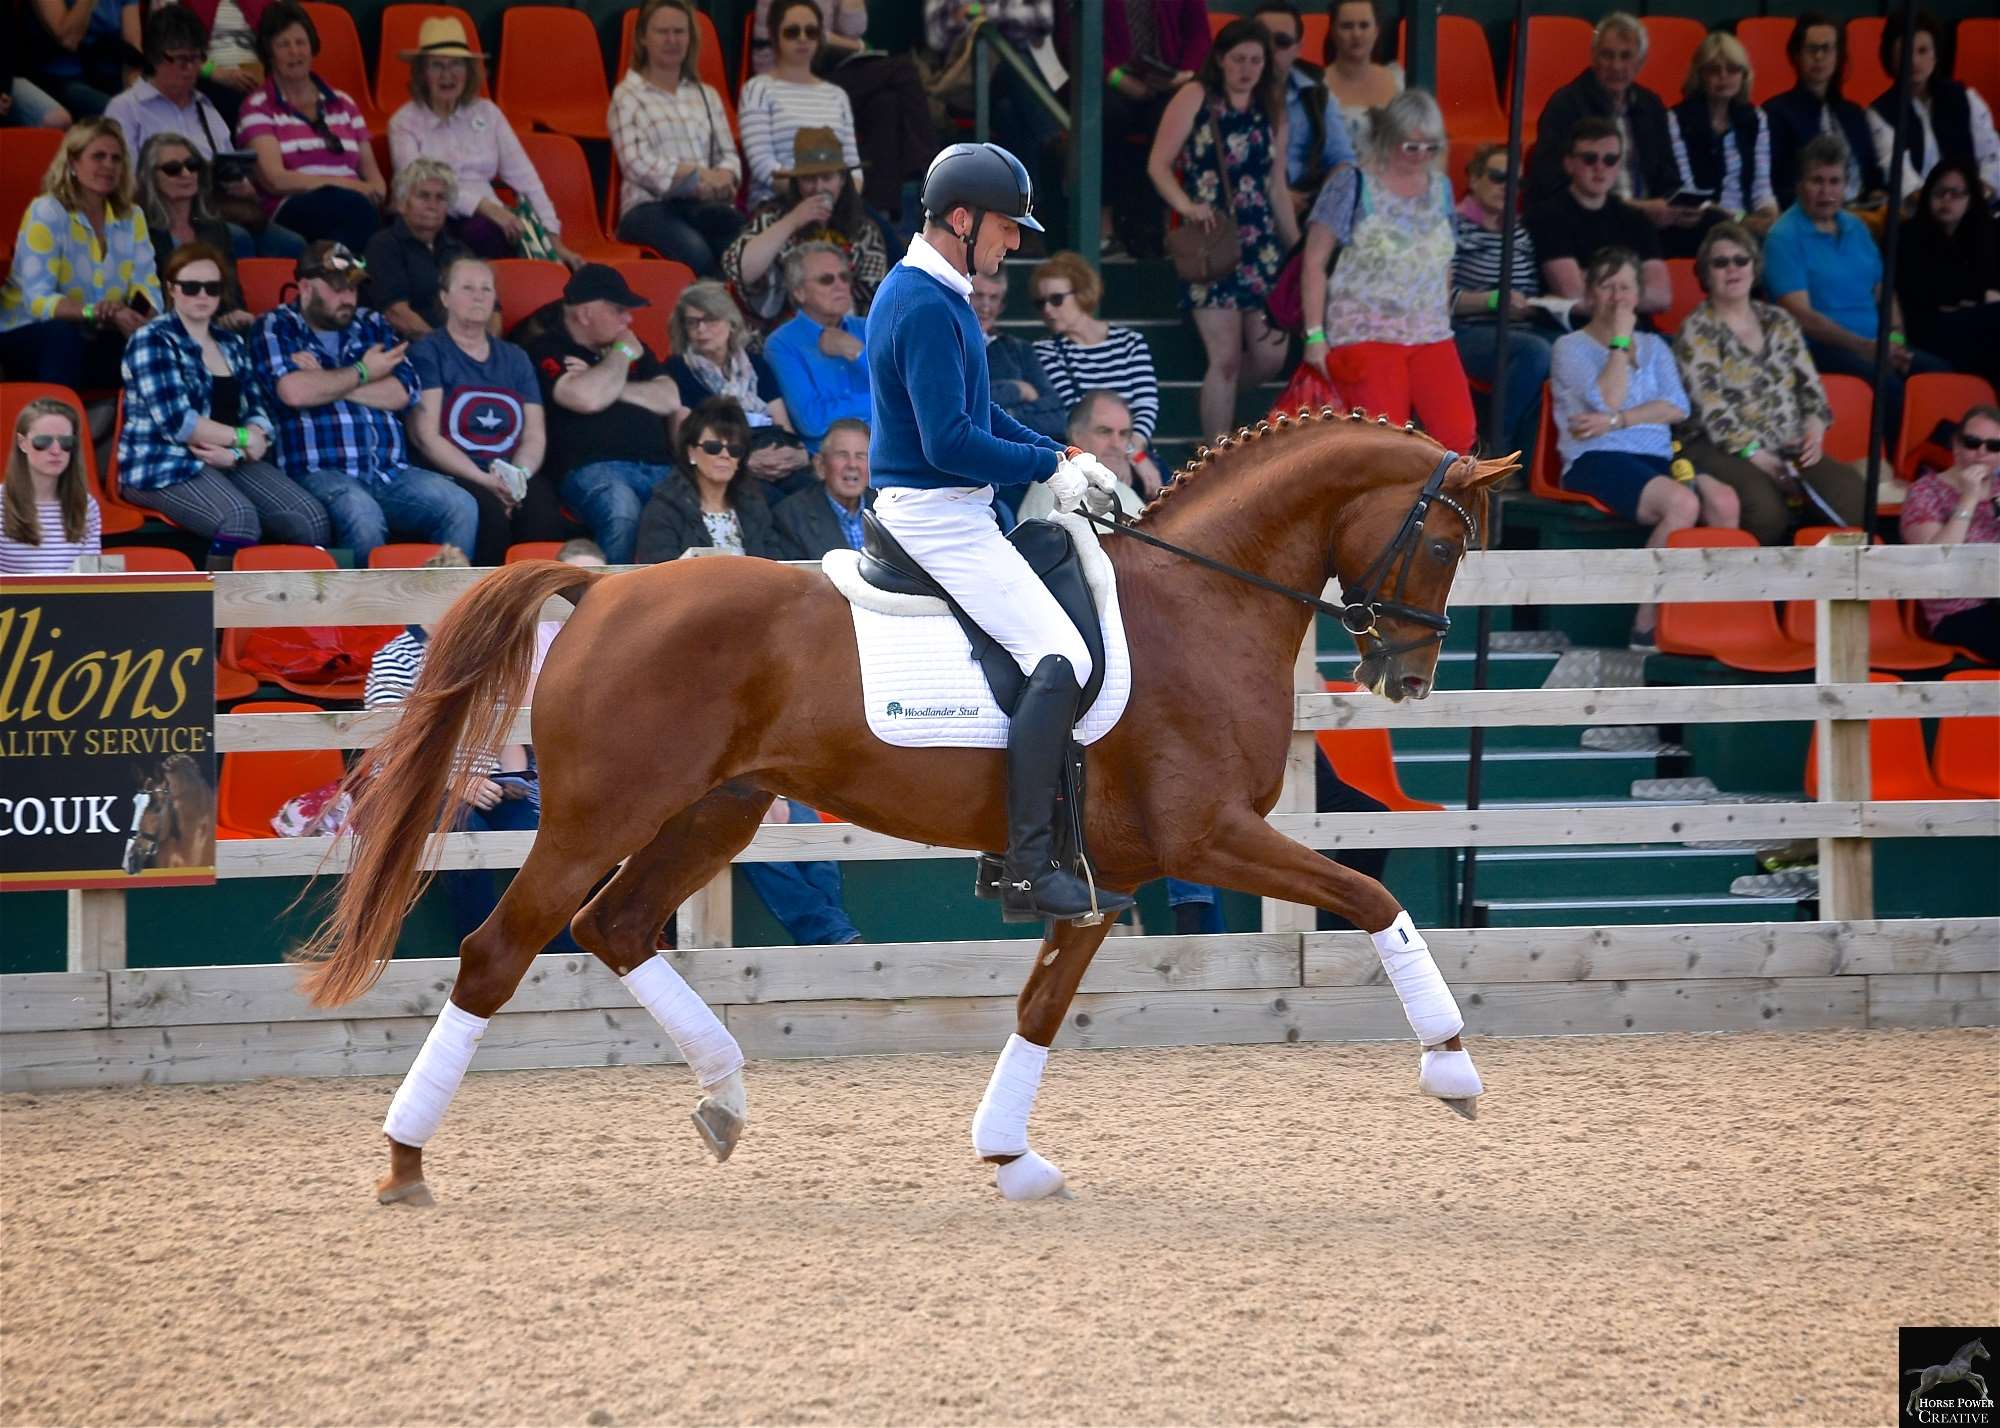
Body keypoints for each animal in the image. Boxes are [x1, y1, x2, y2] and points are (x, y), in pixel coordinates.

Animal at [294, 409, 1517, 1206]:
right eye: (1442, 542)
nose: (1408, 677)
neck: (1200, 597)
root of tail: (599, 589)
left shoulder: (1102, 873)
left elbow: (1041, 1006)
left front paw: (1010, 1156)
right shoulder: (1209, 836)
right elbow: (1370, 897)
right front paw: (1452, 1067)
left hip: (712, 812)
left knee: (617, 927)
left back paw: (724, 1097)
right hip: (600, 816)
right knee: (500, 951)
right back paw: (404, 1160)